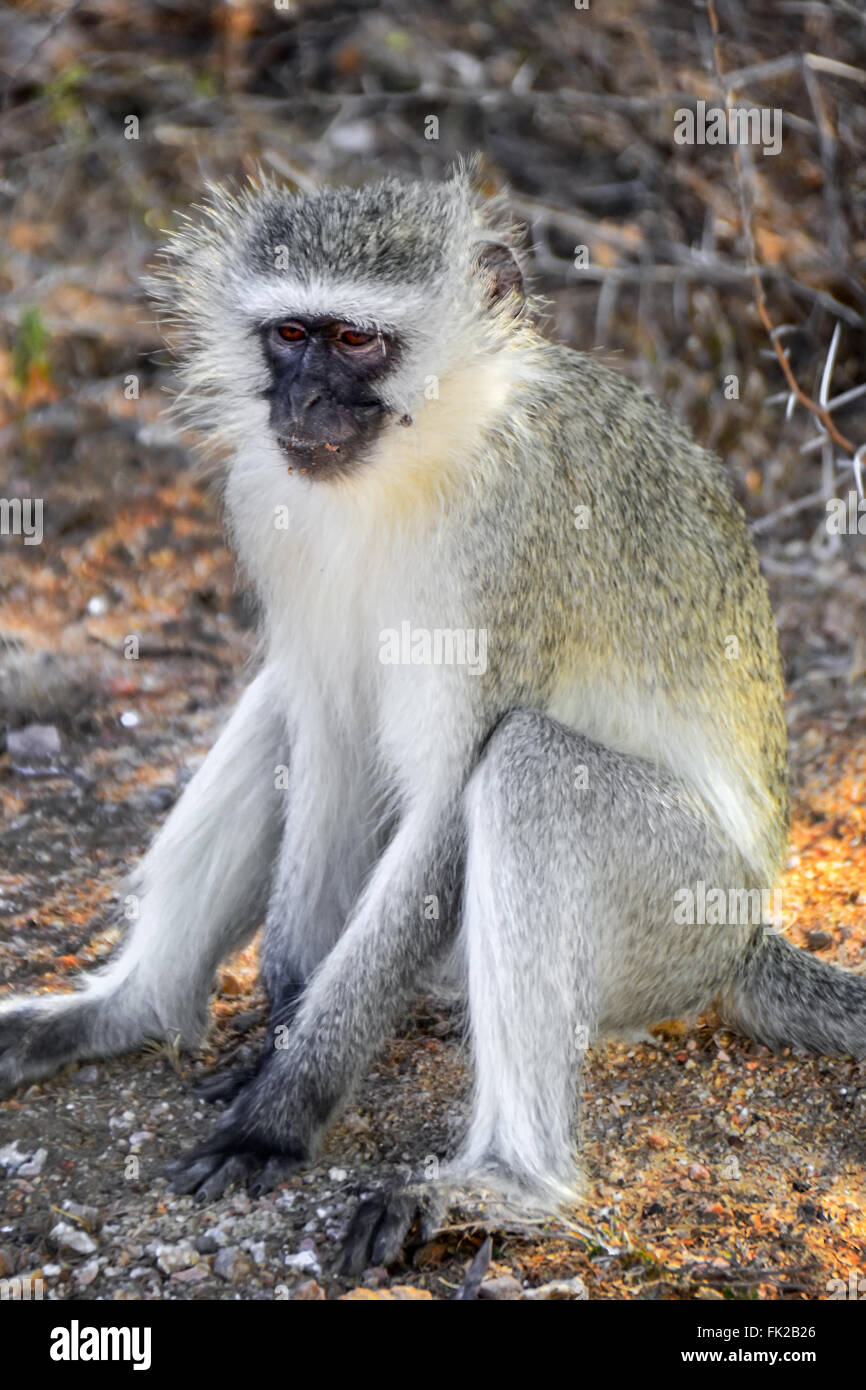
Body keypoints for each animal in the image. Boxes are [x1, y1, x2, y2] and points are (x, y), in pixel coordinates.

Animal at [1, 164, 863, 1277]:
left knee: (528, 767)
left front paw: (285, 1102)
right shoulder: (269, 505)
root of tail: (749, 937)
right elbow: (326, 729)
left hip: (683, 919)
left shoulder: (514, 538)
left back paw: (507, 1183)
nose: (301, 401)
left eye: (356, 342)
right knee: (284, 699)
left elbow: (453, 800)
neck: (425, 453)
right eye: (290, 335)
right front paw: (283, 1022)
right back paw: (124, 1011)